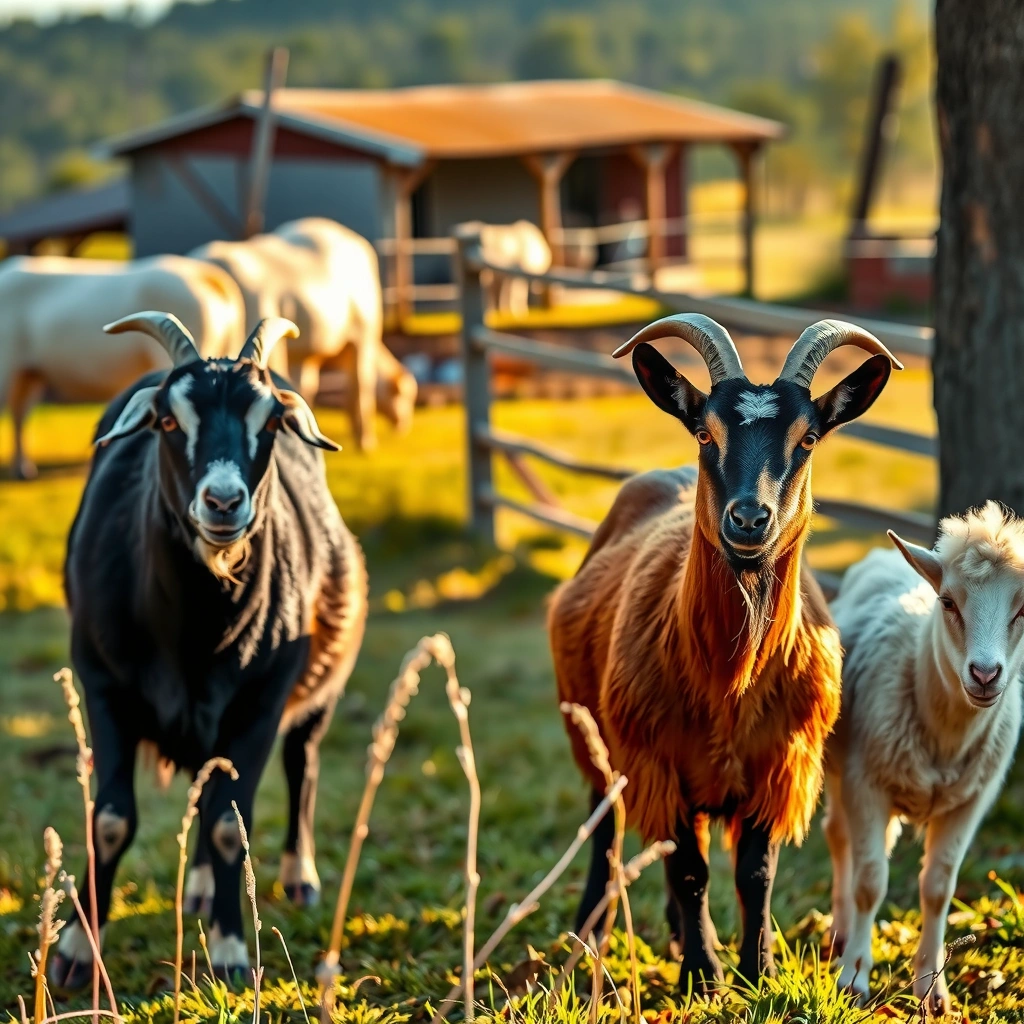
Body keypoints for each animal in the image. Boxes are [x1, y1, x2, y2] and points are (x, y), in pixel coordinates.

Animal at [51, 313, 367, 986]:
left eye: (270, 422)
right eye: (168, 422)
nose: (224, 503)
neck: (194, 634)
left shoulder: (259, 701)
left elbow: (229, 825)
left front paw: (228, 953)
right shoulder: (105, 685)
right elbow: (110, 821)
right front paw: (74, 953)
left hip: (316, 687)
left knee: (301, 763)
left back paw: (298, 877)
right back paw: (196, 889)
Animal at [548, 314, 900, 992]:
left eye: (808, 438)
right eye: (705, 433)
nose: (748, 519)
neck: (728, 682)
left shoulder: (775, 766)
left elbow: (752, 874)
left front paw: (757, 970)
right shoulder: (658, 760)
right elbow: (691, 871)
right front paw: (703, 976)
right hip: (592, 735)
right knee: (607, 829)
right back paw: (591, 936)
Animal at [825, 503, 1024, 1015]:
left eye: (1023, 609)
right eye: (949, 603)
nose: (985, 674)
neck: (946, 735)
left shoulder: (970, 802)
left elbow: (938, 888)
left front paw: (932, 990)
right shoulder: (866, 783)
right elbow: (870, 883)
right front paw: (854, 979)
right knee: (839, 840)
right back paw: (841, 933)